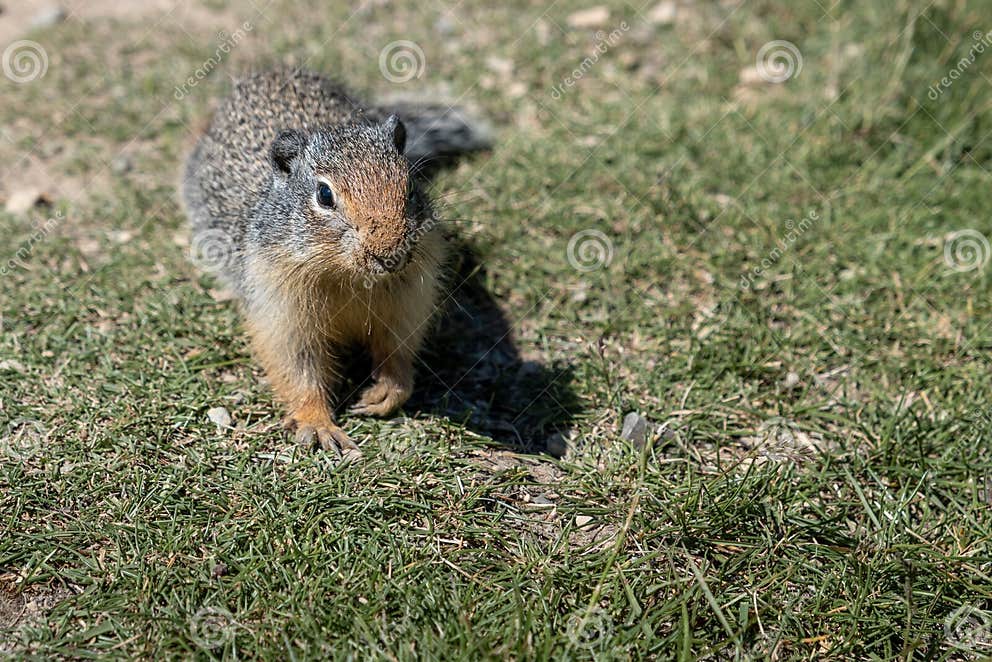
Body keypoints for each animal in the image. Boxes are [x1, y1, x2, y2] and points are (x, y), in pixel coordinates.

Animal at [180, 68, 489, 458]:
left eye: (410, 187)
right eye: (324, 195)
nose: (390, 253)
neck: (348, 277)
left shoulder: (408, 302)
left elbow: (398, 351)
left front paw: (386, 393)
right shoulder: (280, 310)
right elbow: (297, 371)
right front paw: (318, 425)